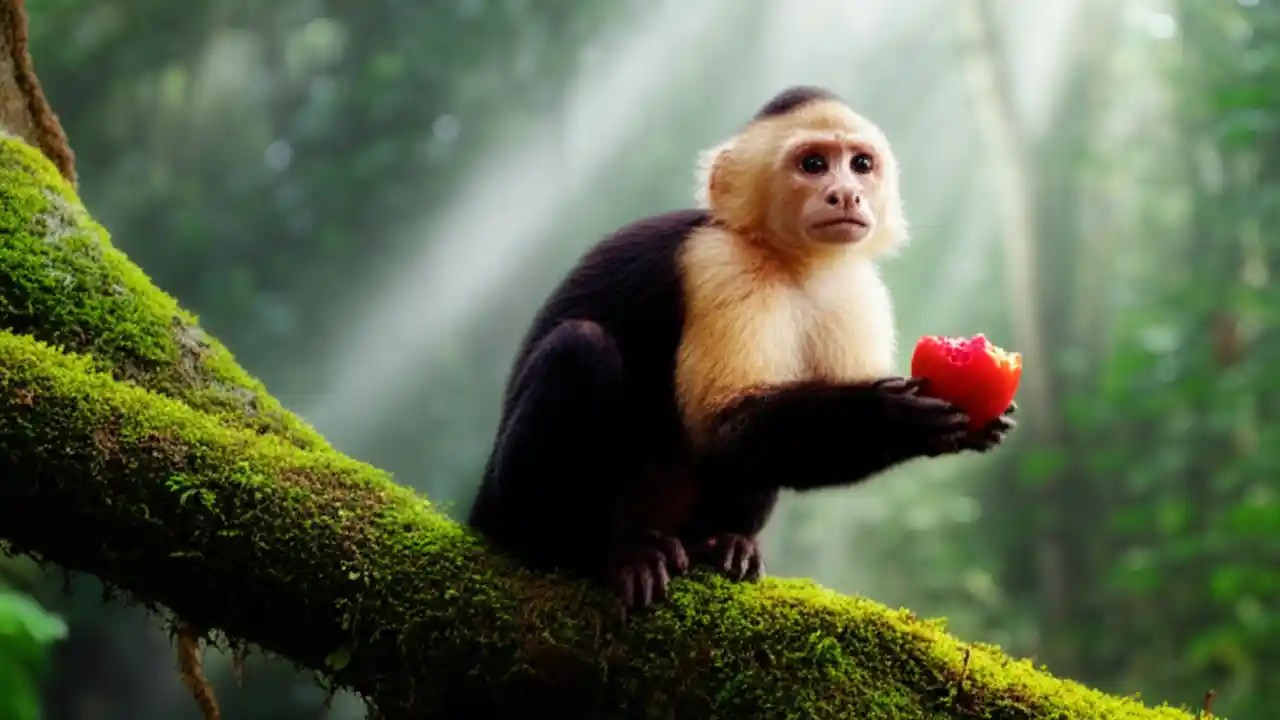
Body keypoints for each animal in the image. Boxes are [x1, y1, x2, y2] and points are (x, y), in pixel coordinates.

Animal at [466, 85, 1016, 617]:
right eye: (813, 164)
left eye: (861, 164)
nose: (846, 194)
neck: (789, 259)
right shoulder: (719, 264)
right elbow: (720, 431)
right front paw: (892, 417)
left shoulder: (857, 290)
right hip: (502, 501)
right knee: (579, 347)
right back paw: (595, 552)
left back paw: (723, 541)